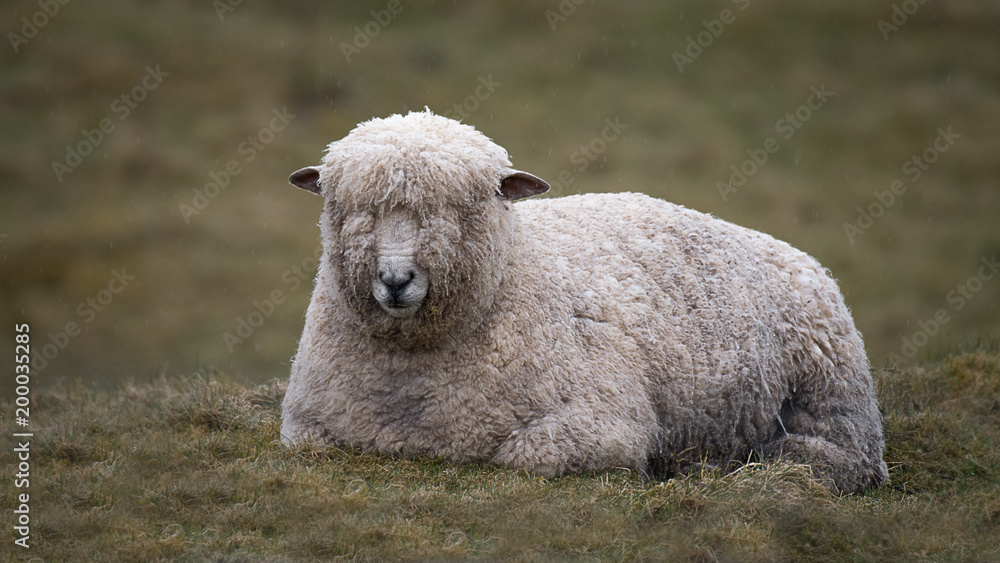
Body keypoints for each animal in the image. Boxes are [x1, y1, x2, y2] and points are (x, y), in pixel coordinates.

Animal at [280, 109, 888, 494]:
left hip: (830, 392)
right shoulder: (305, 426)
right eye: (352, 208)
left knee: (846, 457)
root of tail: (797, 255)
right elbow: (307, 443)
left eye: (459, 209)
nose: (395, 279)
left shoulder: (604, 421)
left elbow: (524, 456)